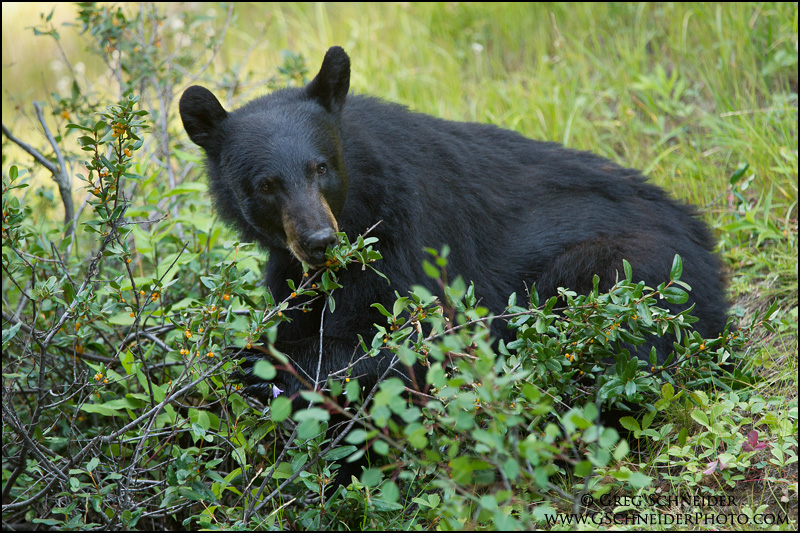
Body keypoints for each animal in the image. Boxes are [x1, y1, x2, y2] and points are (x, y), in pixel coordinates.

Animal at [179, 45, 727, 422]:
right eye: (266, 185)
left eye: (321, 168)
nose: (319, 242)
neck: (357, 201)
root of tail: (705, 243)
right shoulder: (288, 264)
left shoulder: (404, 229)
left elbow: (410, 333)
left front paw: (265, 366)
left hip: (634, 275)